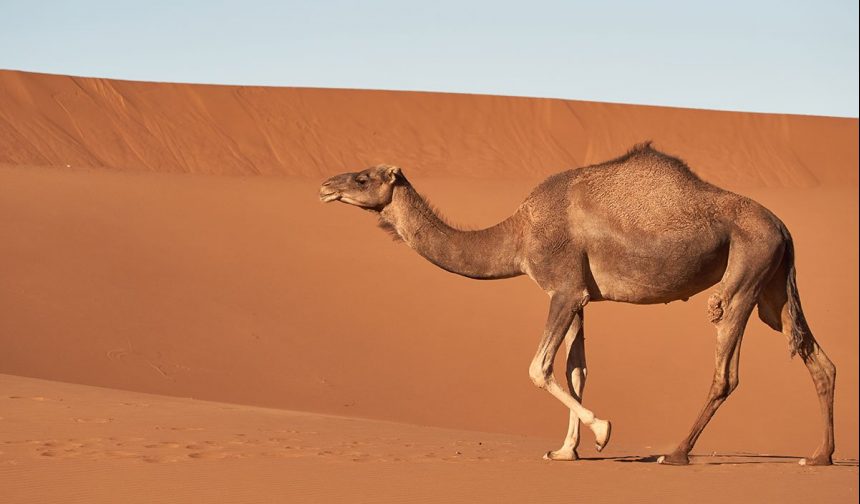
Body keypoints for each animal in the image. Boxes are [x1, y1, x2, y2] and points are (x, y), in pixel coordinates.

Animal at [318, 143, 836, 466]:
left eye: (362, 177)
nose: (326, 186)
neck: (517, 235)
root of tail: (783, 226)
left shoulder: (563, 288)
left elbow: (538, 368)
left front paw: (603, 431)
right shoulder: (578, 295)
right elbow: (575, 369)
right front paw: (567, 450)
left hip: (744, 274)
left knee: (725, 369)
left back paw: (675, 453)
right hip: (773, 287)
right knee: (816, 358)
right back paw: (819, 456)